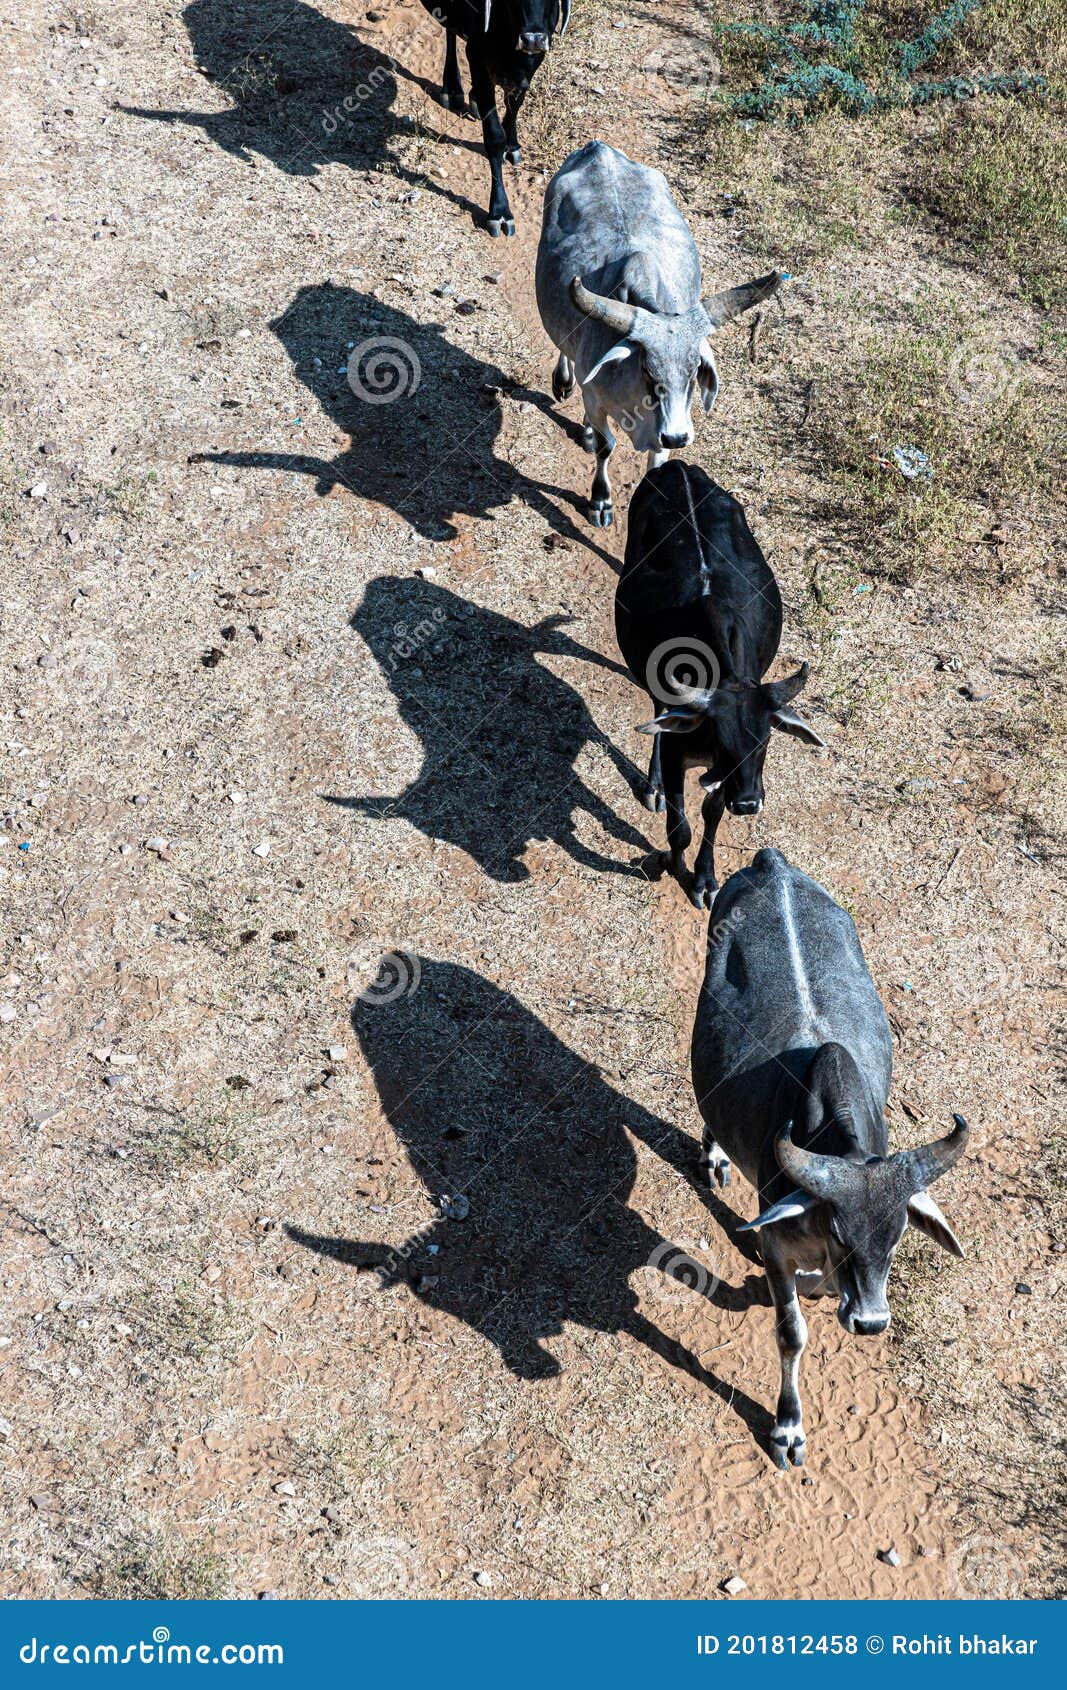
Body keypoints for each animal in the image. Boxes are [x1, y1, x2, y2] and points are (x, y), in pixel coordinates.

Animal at [421, 0, 570, 237]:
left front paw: (512, 144)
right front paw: (500, 211)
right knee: (450, 28)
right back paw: (452, 88)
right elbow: (493, 136)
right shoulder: (478, 58)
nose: (533, 39)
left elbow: (514, 104)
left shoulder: (533, 60)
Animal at [535, 140, 782, 525]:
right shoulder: (597, 398)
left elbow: (656, 463)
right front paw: (601, 501)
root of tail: (598, 148)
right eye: (649, 372)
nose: (678, 437)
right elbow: (606, 447)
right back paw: (564, 382)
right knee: (566, 351)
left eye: (695, 374)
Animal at [616, 461, 824, 908]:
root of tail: (679, 466)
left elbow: (711, 813)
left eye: (765, 741)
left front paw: (705, 878)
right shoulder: (680, 754)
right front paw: (672, 862)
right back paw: (653, 785)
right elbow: (679, 827)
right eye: (722, 739)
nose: (747, 804)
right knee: (657, 712)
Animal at [692, 847, 970, 1467]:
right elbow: (791, 1332)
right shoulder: (778, 1245)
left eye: (899, 1235)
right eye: (842, 1233)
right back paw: (716, 1153)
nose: (870, 1323)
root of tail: (770, 862)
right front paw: (788, 1428)